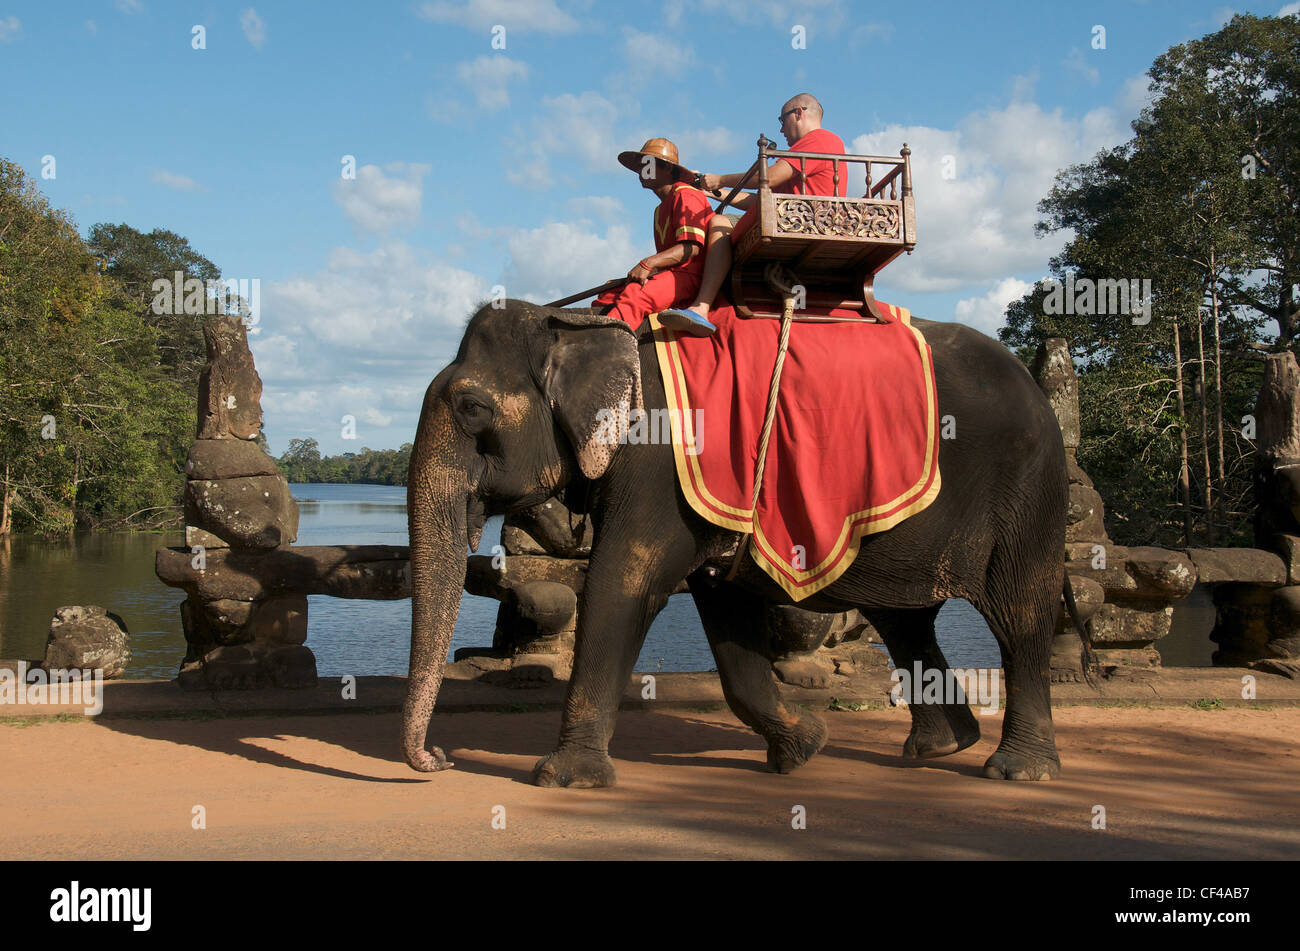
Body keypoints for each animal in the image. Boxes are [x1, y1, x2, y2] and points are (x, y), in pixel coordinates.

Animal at [402, 299, 1092, 785]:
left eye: (471, 408)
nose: (439, 760)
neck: (579, 324)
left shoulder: (661, 463)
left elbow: (624, 581)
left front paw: (564, 779)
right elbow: (722, 607)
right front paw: (801, 749)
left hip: (1033, 486)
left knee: (1020, 616)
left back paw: (1017, 768)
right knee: (906, 620)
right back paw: (939, 746)